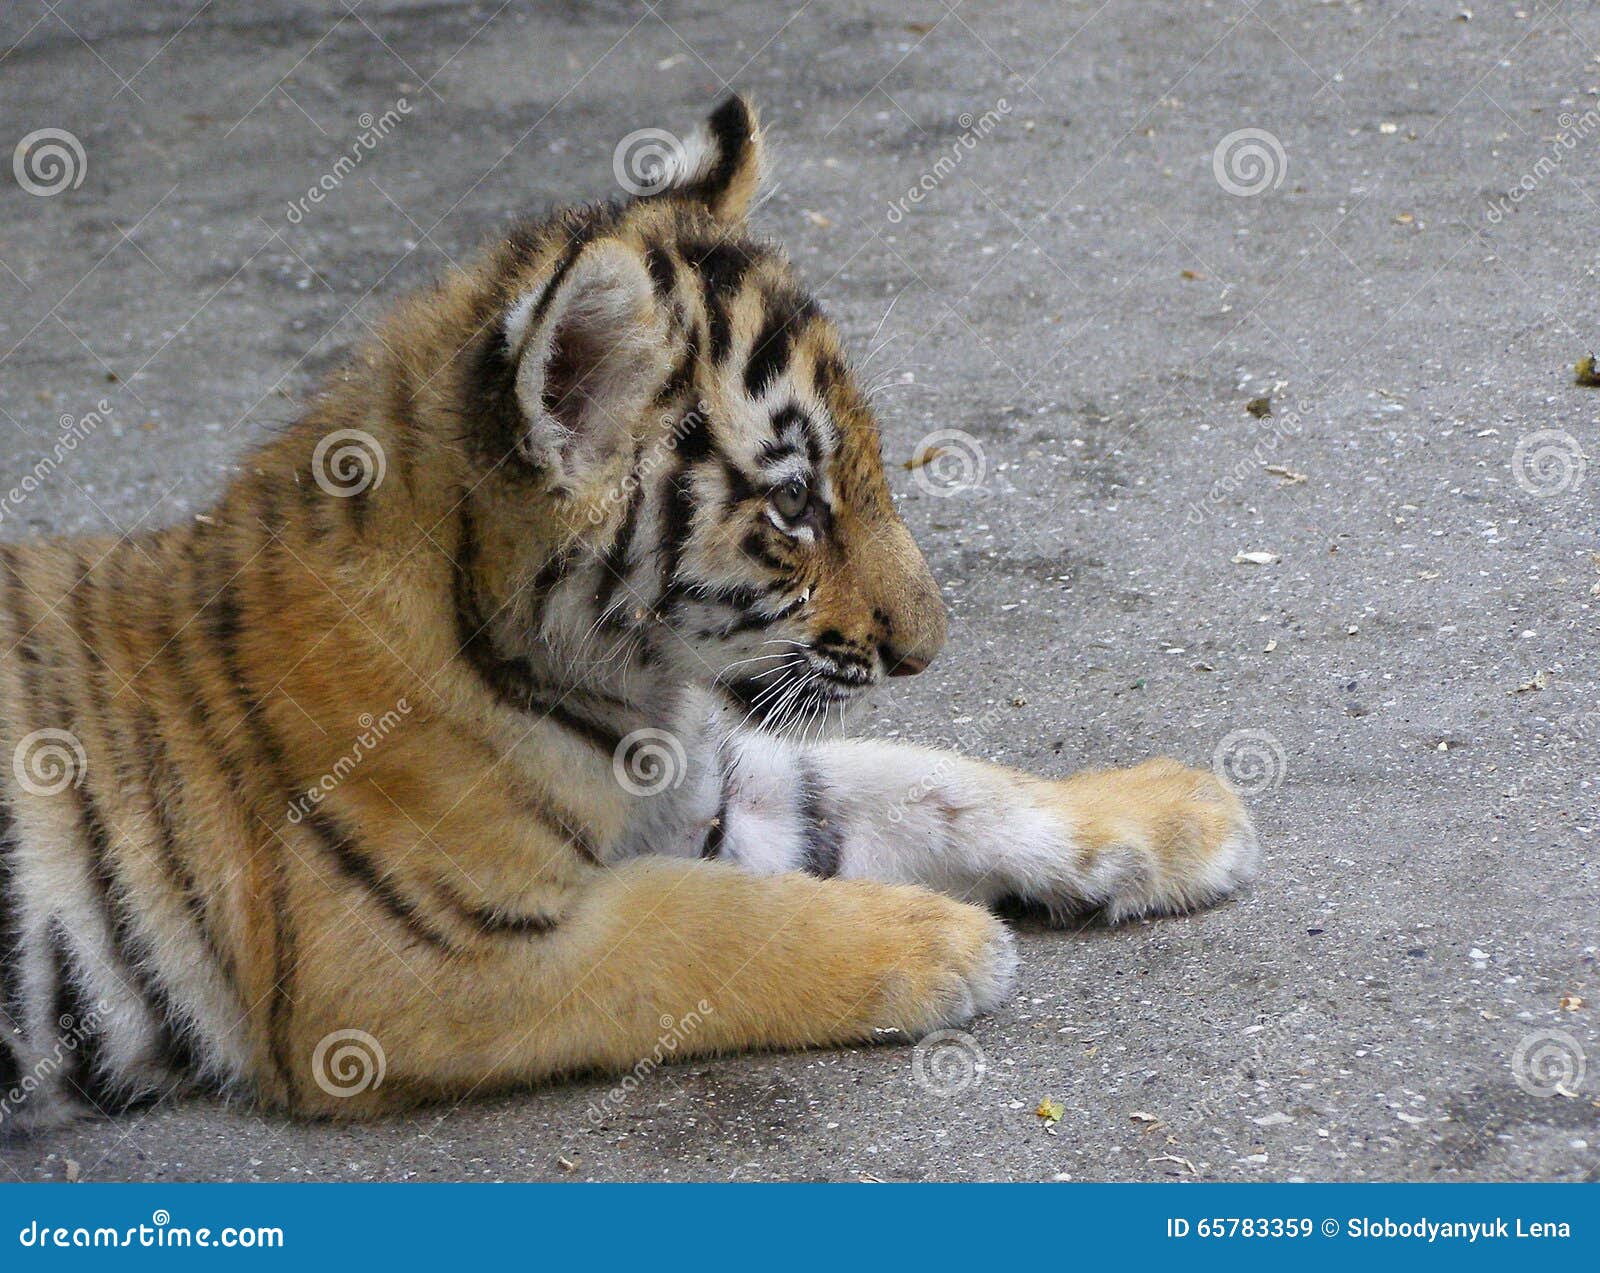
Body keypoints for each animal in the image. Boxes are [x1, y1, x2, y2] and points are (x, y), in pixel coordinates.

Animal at [0, 95, 1259, 1130]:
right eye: (794, 503)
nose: (924, 648)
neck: (614, 679)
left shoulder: (703, 784)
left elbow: (927, 778)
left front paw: (1175, 810)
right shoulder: (408, 964)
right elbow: (709, 927)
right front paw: (942, 940)